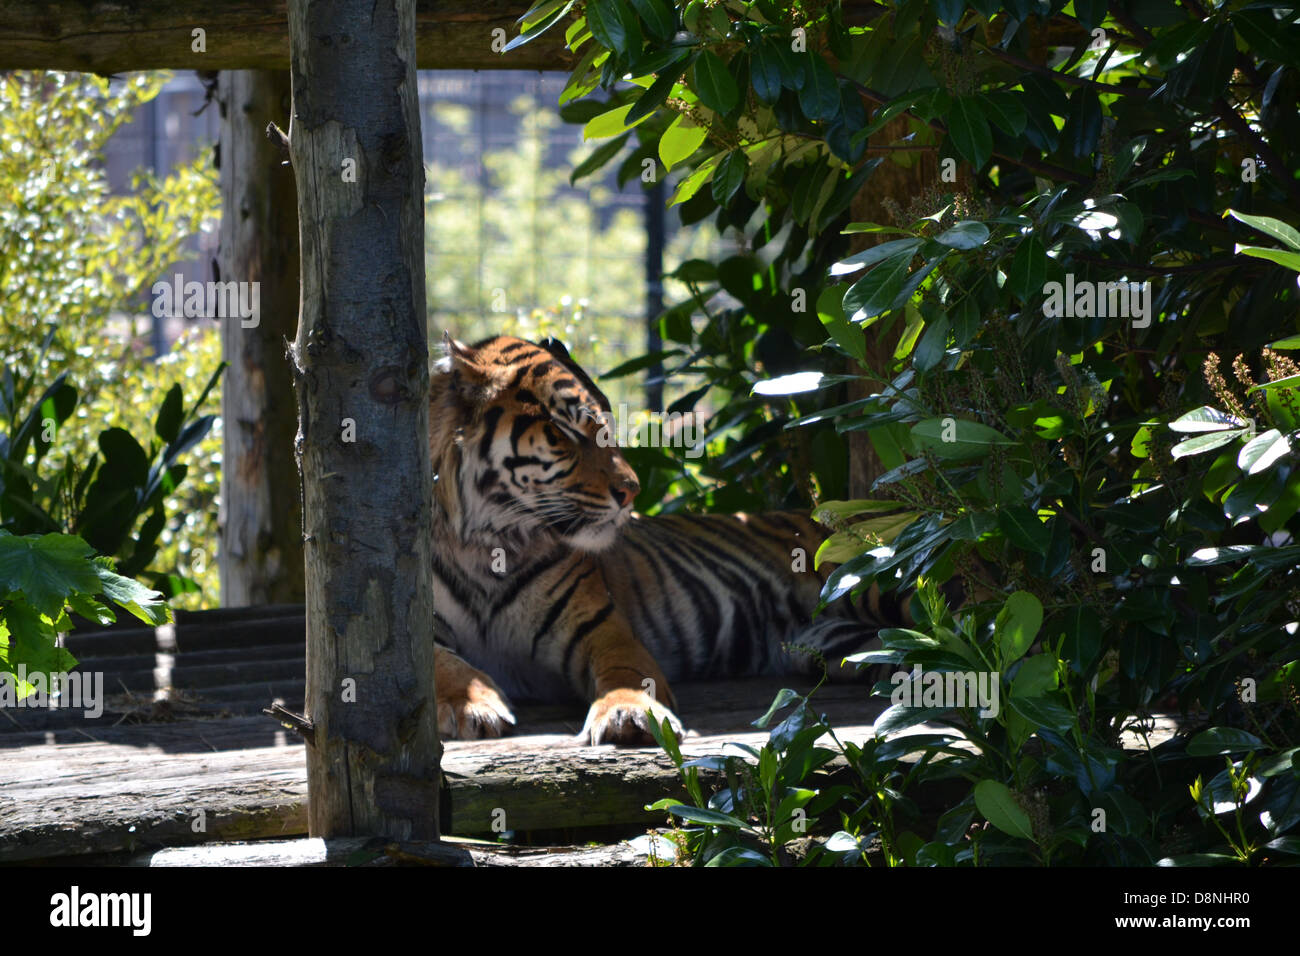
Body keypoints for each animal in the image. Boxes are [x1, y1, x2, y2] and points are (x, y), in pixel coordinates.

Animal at [428, 334, 901, 746]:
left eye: (609, 428)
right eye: (566, 433)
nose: (632, 491)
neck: (491, 544)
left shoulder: (602, 628)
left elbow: (625, 671)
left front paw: (631, 714)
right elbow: (442, 663)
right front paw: (473, 705)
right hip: (835, 640)